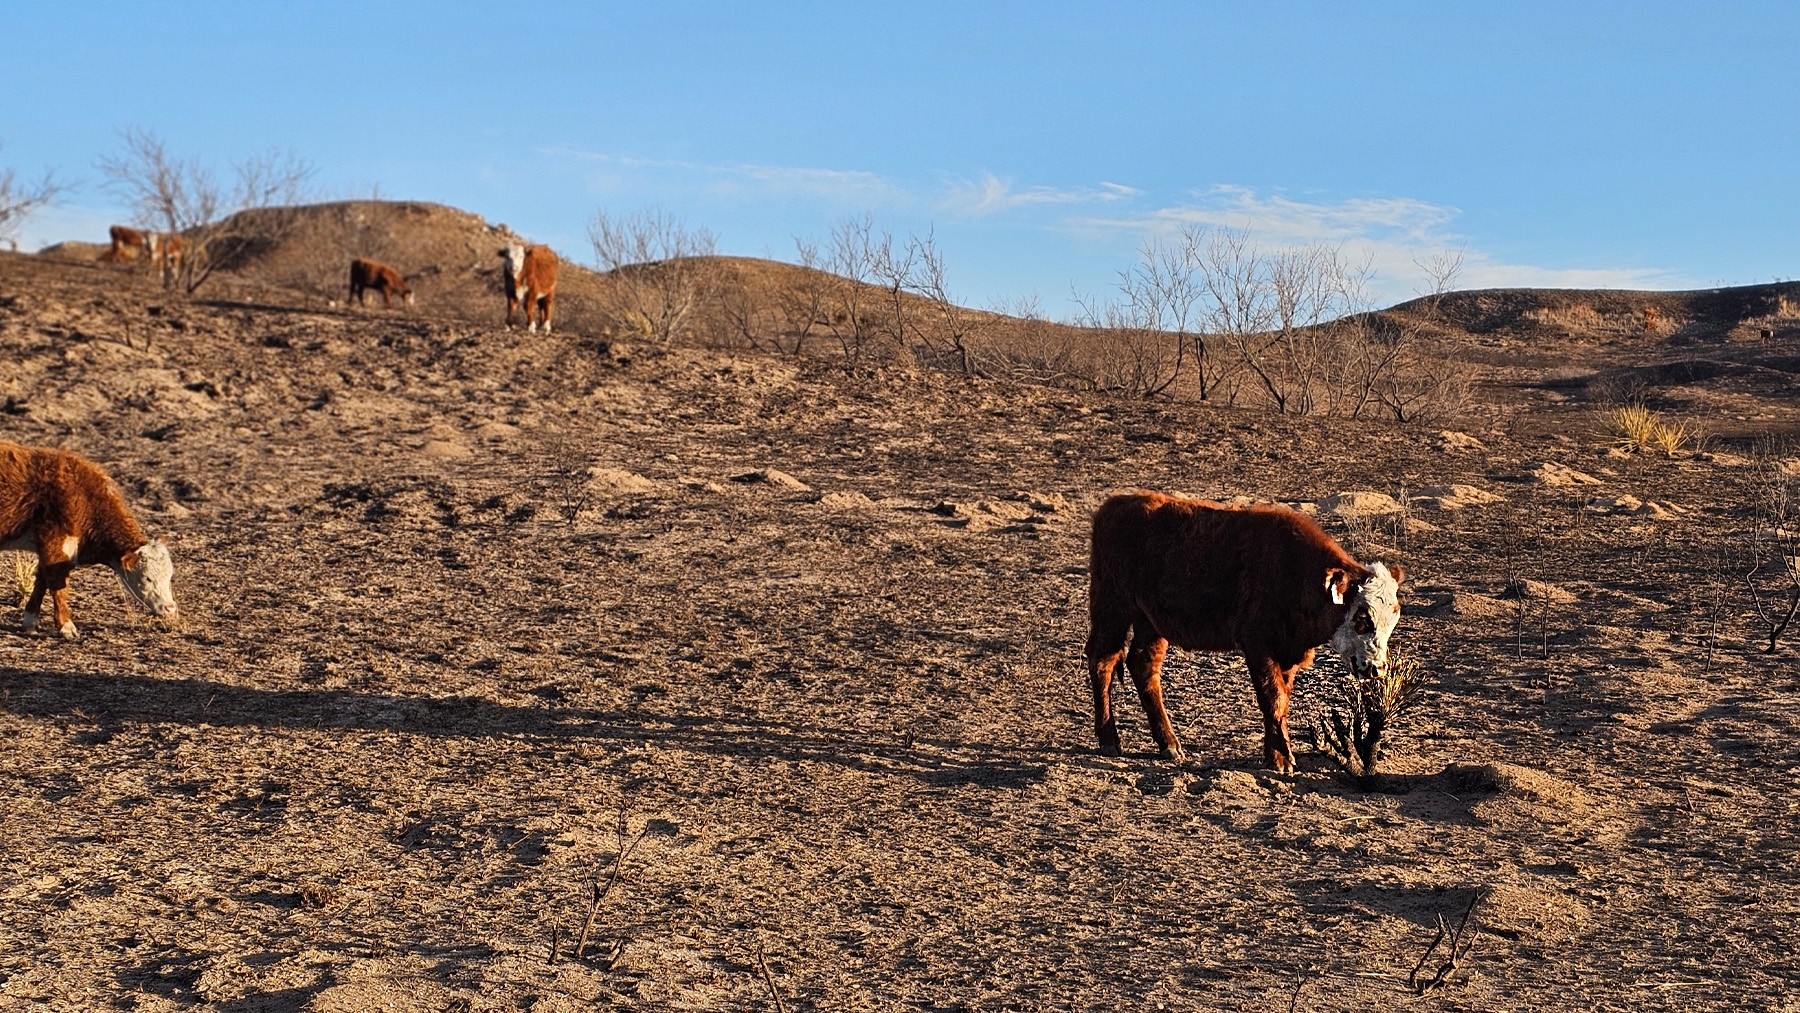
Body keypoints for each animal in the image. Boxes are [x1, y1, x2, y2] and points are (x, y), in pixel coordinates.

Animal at [1, 441, 178, 639]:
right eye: (147, 578)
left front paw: (30, 622)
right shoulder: (57, 545)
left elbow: (41, 582)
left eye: (169, 577)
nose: (170, 609)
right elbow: (57, 585)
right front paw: (66, 627)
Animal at [1086, 492, 1405, 772]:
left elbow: (1281, 702)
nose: (1377, 669)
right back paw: (1109, 740)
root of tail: (1113, 506)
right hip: (1111, 608)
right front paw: (1282, 760)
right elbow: (1273, 699)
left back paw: (1169, 744)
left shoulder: (1287, 652)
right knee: (1103, 661)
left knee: (1142, 665)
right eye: (1361, 617)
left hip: (1150, 622)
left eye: (1392, 621)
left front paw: (1276, 754)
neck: (1295, 571)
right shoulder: (1258, 645)